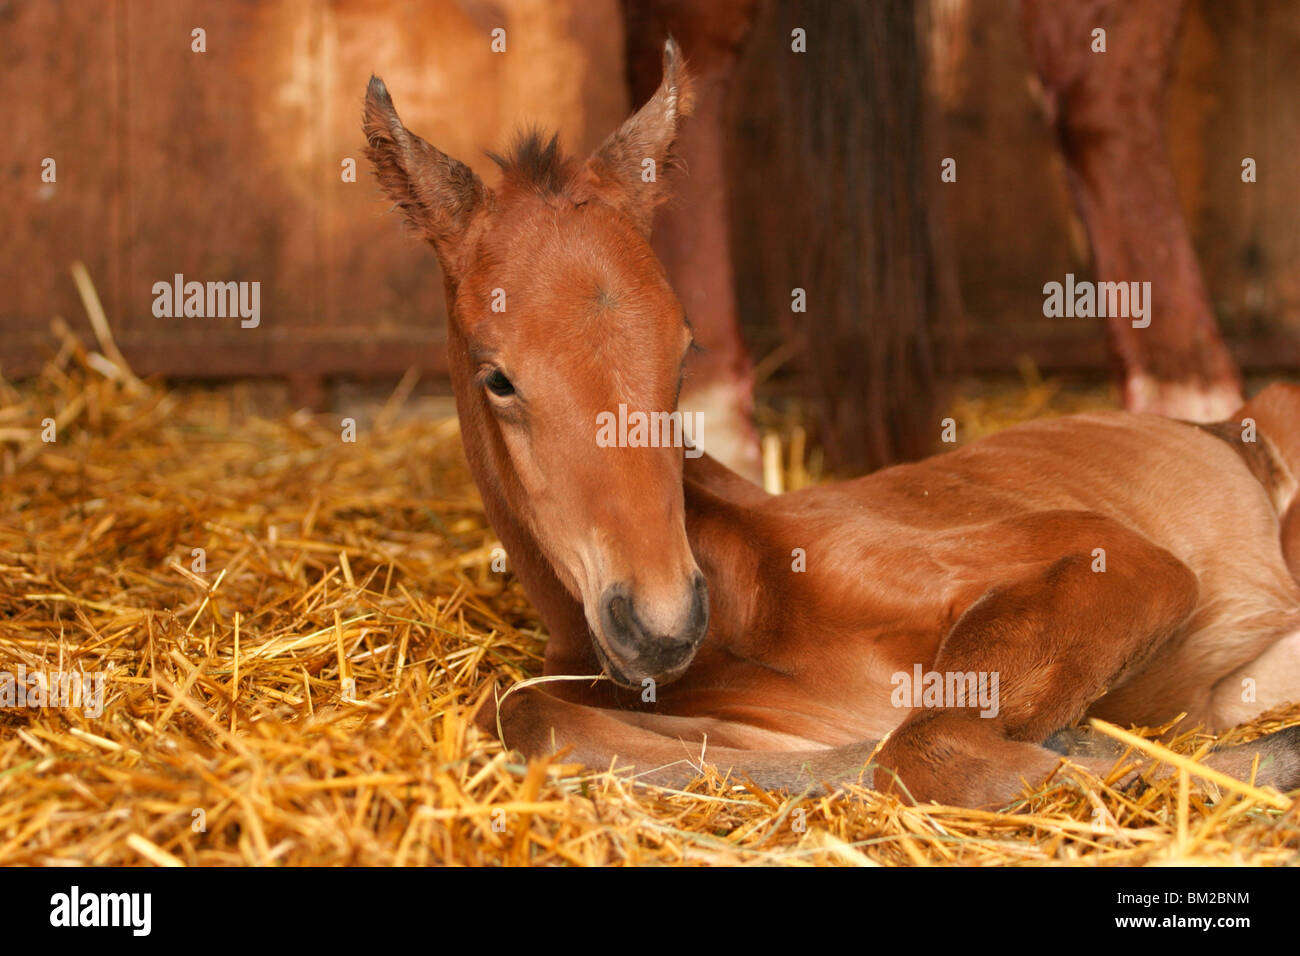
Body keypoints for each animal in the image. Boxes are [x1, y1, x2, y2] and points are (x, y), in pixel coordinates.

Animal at [362, 39, 1300, 809]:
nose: (661, 623)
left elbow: (924, 744)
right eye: (497, 376)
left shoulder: (1119, 558)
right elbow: (526, 717)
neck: (742, 608)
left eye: (683, 352)